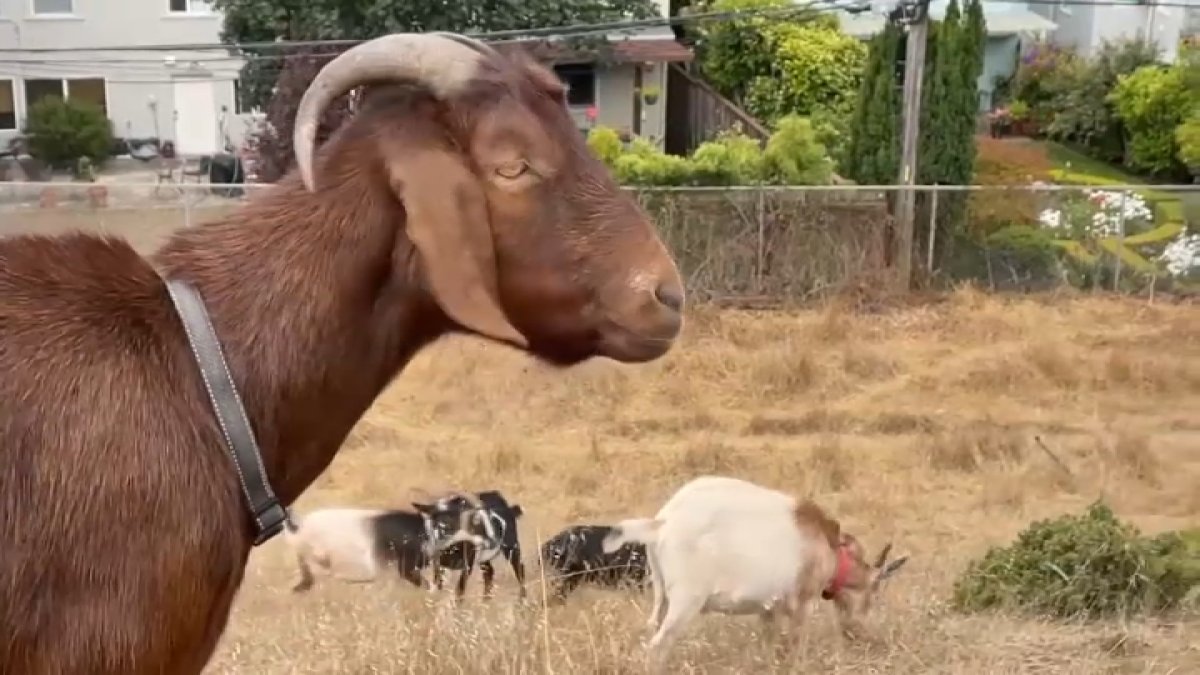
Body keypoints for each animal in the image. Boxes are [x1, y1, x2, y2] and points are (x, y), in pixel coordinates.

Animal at [603, 476, 908, 669]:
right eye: (874, 592)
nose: (862, 635)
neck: (829, 548)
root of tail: (663, 523)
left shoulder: (767, 608)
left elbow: (769, 646)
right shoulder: (804, 602)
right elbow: (795, 645)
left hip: (662, 595)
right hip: (686, 600)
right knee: (658, 646)